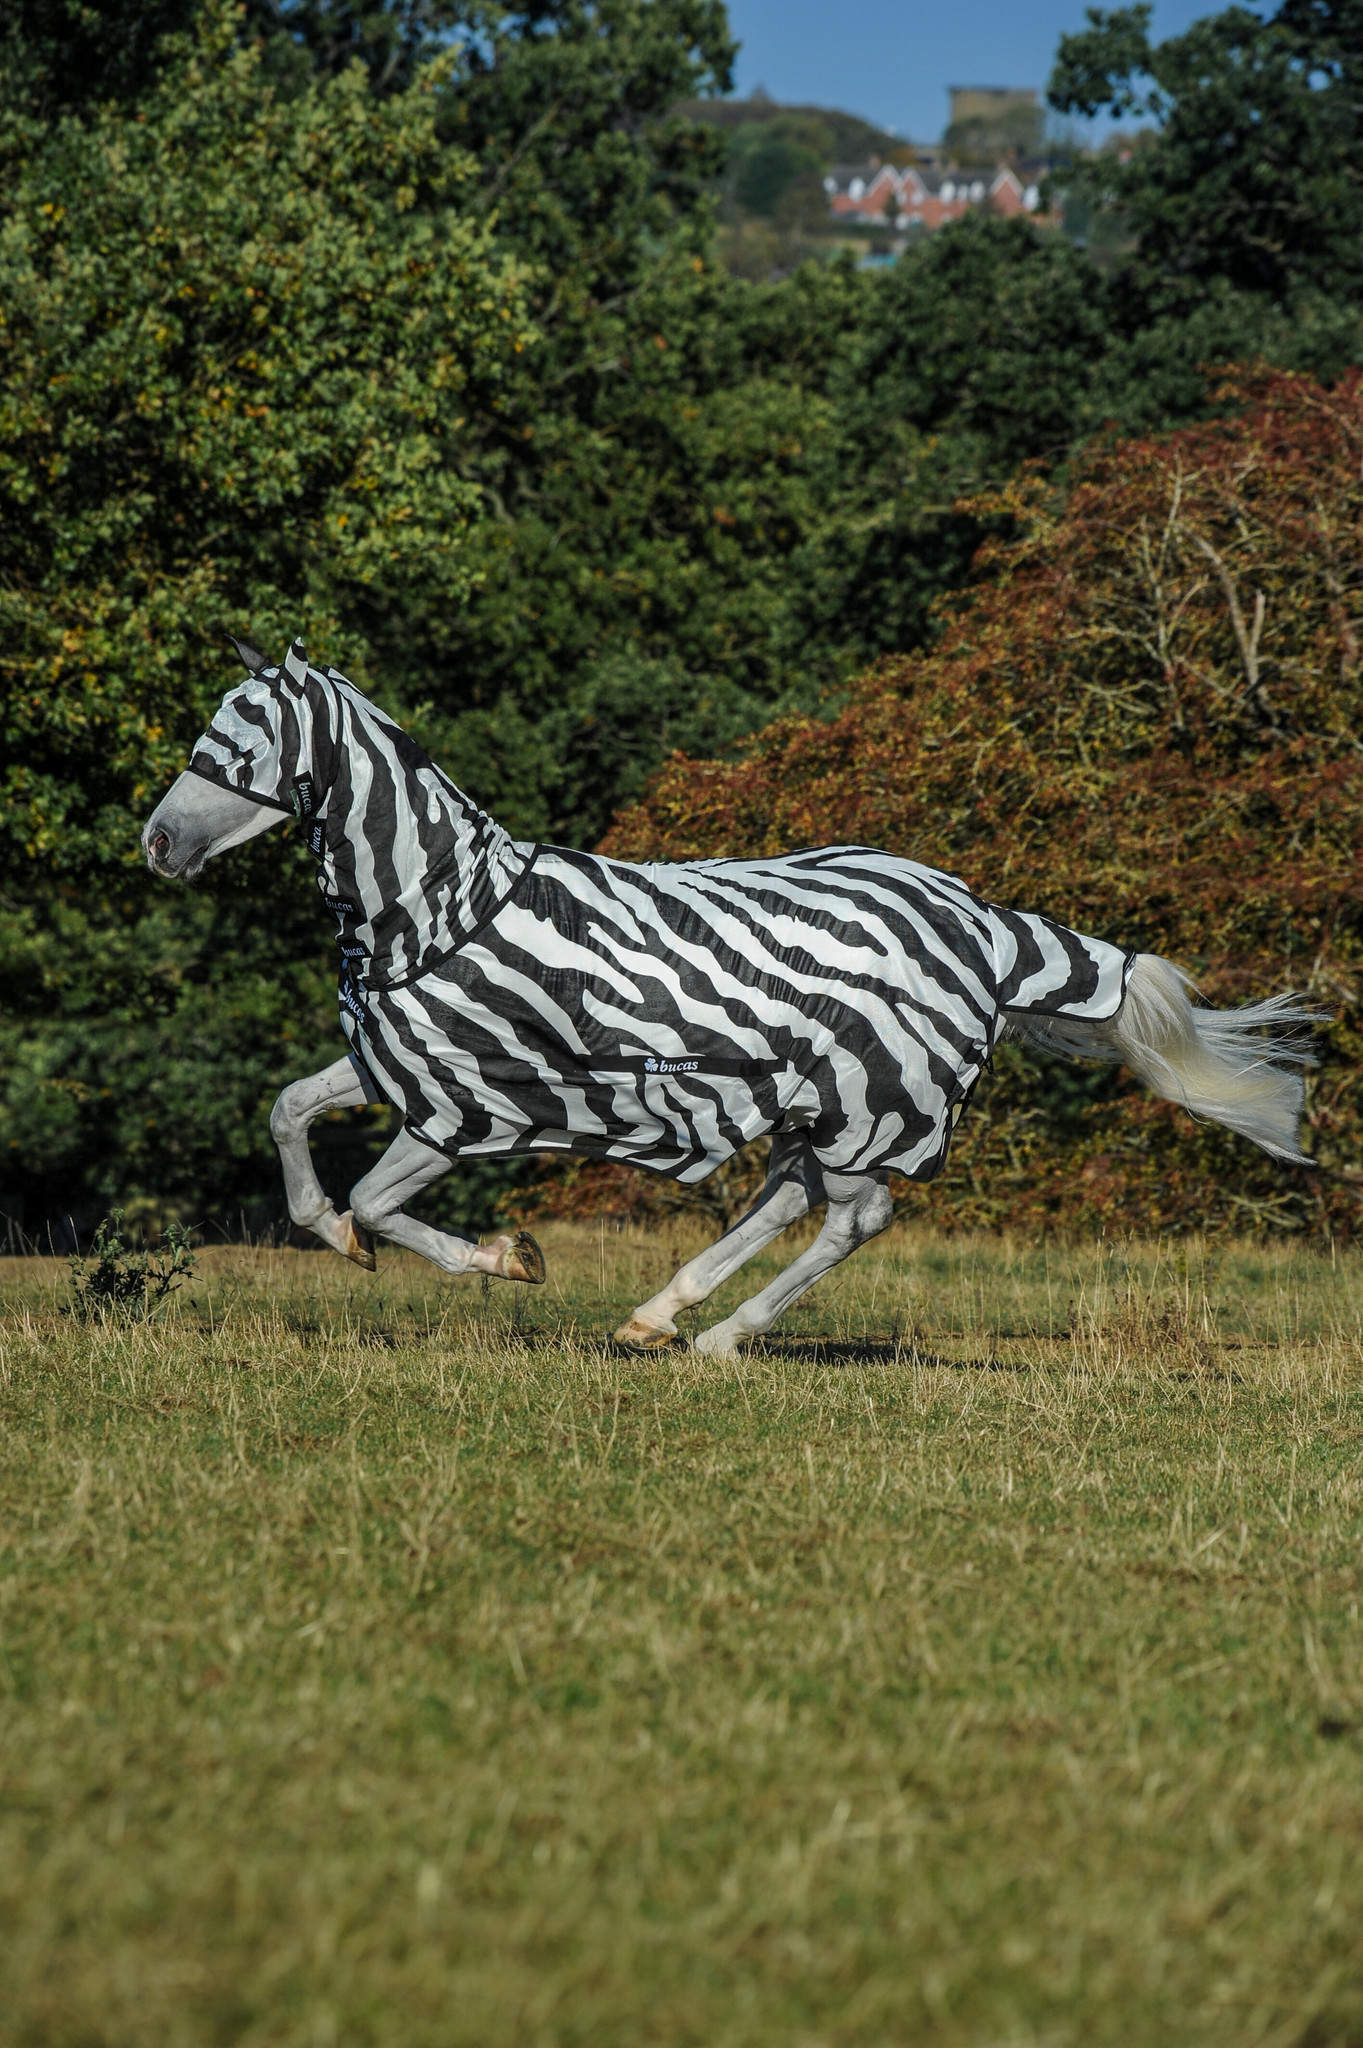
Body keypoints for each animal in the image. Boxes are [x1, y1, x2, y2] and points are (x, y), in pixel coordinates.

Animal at [142, 638, 1316, 1357]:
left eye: (244, 736)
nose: (155, 842)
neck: (437, 908)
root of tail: (983, 921)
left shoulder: (472, 1102)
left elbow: (383, 1202)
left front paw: (507, 1258)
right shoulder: (396, 1062)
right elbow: (290, 1119)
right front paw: (338, 1239)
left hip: (873, 1097)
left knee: (850, 1214)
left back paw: (716, 1335)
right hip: (816, 1096)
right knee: (789, 1196)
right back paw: (657, 1316)